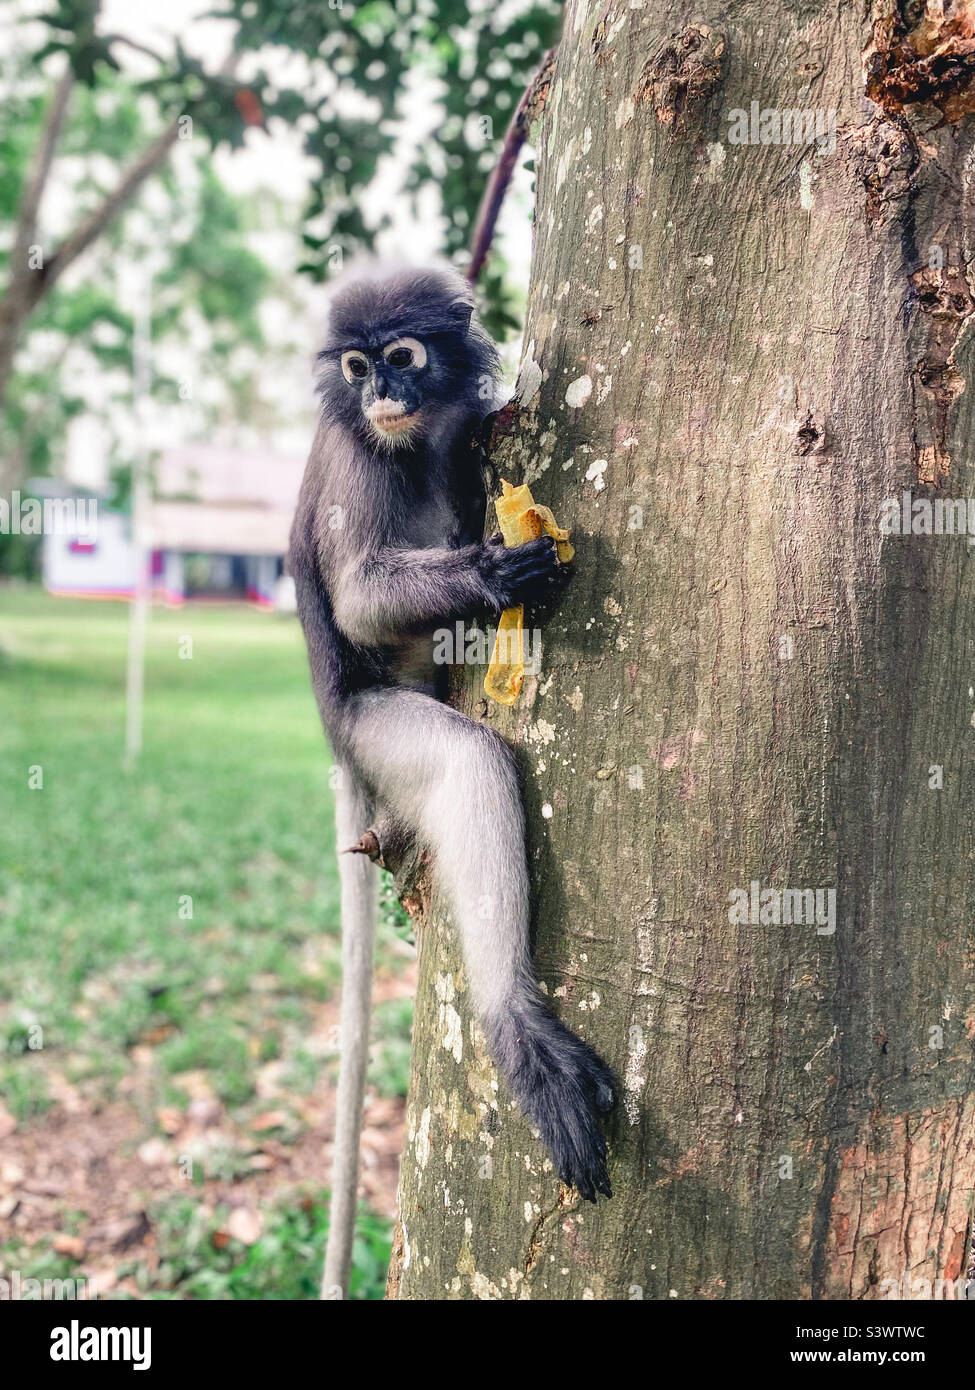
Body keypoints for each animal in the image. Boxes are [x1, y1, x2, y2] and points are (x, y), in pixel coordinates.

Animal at [289, 264, 614, 1298]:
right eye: (357, 368)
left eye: (402, 357)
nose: (379, 396)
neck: (413, 439)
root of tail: (337, 736)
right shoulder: (356, 459)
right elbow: (358, 596)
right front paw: (492, 571)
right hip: (376, 726)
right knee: (470, 758)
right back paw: (517, 1026)